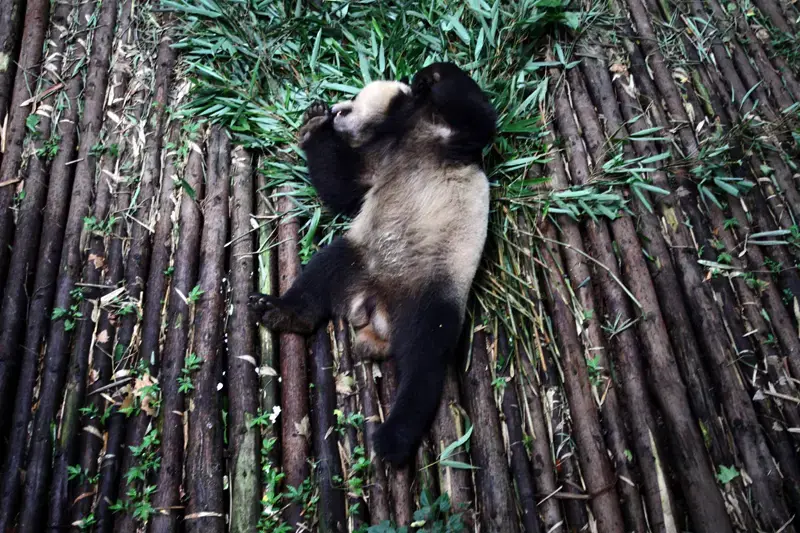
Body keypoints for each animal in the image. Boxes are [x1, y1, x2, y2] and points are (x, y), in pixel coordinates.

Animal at [250, 62, 497, 466]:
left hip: (434, 293)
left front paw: (432, 76)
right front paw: (313, 121)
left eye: (349, 107)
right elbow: (342, 188)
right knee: (322, 273)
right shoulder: (380, 158)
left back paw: (393, 438)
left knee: (425, 360)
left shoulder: (454, 142)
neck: (414, 126)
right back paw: (279, 310)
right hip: (358, 258)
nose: (336, 111)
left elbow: (478, 117)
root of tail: (374, 310)